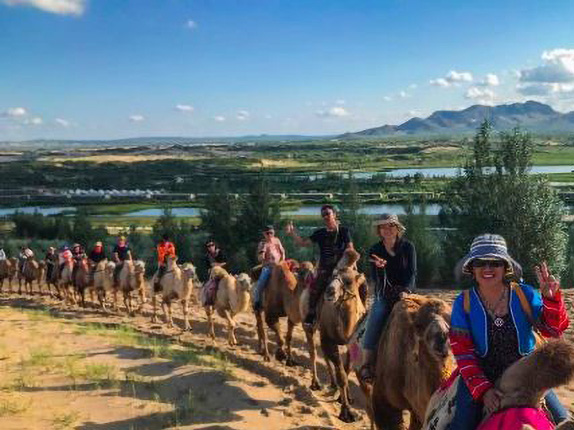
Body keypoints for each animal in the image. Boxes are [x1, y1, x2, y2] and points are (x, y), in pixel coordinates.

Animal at [320, 249, 368, 424]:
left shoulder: (352, 344)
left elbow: (347, 371)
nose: (329, 292)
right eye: (331, 276)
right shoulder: (328, 339)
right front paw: (346, 412)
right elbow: (341, 375)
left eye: (348, 281)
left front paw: (345, 398)